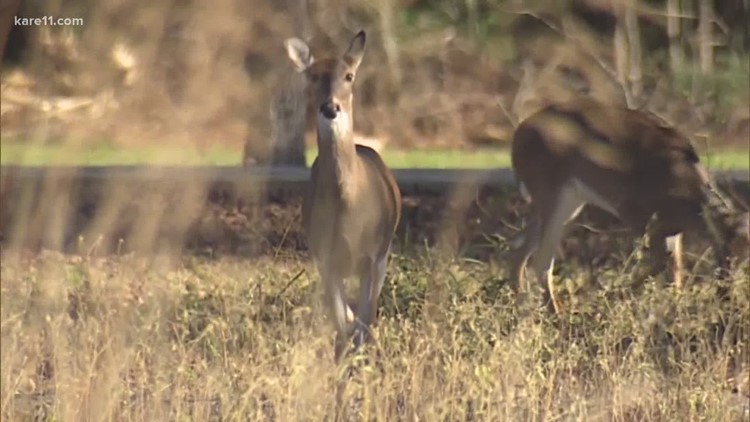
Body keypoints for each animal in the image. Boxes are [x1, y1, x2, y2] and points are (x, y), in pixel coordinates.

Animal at [283, 30, 402, 361]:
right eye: (313, 76)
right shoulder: (326, 257)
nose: (330, 107)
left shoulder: (373, 256)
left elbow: (365, 323)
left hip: (383, 253)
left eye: (349, 75)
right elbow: (342, 326)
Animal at [508, 97, 749, 314]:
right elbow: (658, 264)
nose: (728, 294)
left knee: (519, 249)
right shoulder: (635, 214)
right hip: (554, 194)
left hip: (569, 203)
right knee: (541, 260)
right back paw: (558, 316)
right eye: (730, 251)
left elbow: (674, 270)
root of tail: (518, 134)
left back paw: (520, 308)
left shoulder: (671, 230)